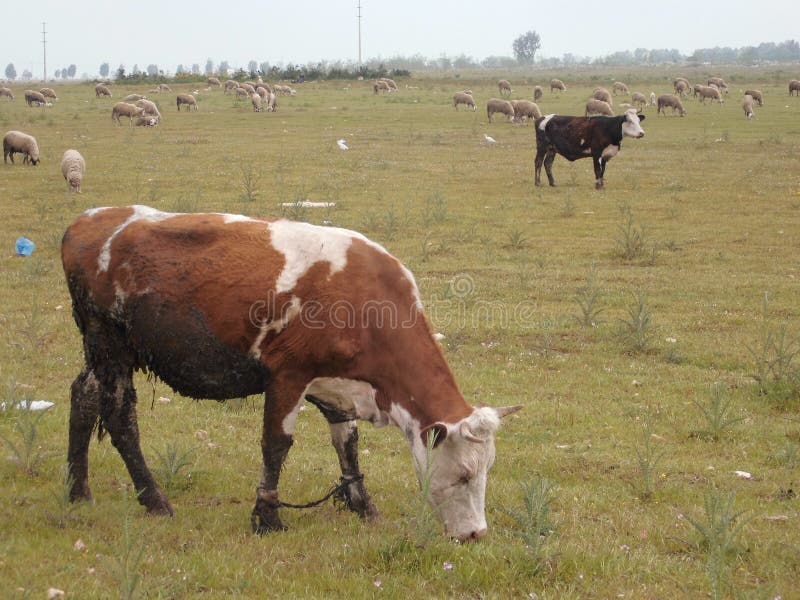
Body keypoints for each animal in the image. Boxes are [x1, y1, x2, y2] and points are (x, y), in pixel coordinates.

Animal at [61, 206, 521, 541]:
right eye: (463, 475)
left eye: (487, 471)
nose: (477, 534)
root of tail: (88, 220)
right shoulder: (287, 376)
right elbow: (276, 446)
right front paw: (267, 516)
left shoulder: (338, 388)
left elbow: (347, 446)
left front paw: (362, 504)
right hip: (111, 347)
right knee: (120, 417)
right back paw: (154, 499)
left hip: (99, 353)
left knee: (83, 396)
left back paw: (78, 490)